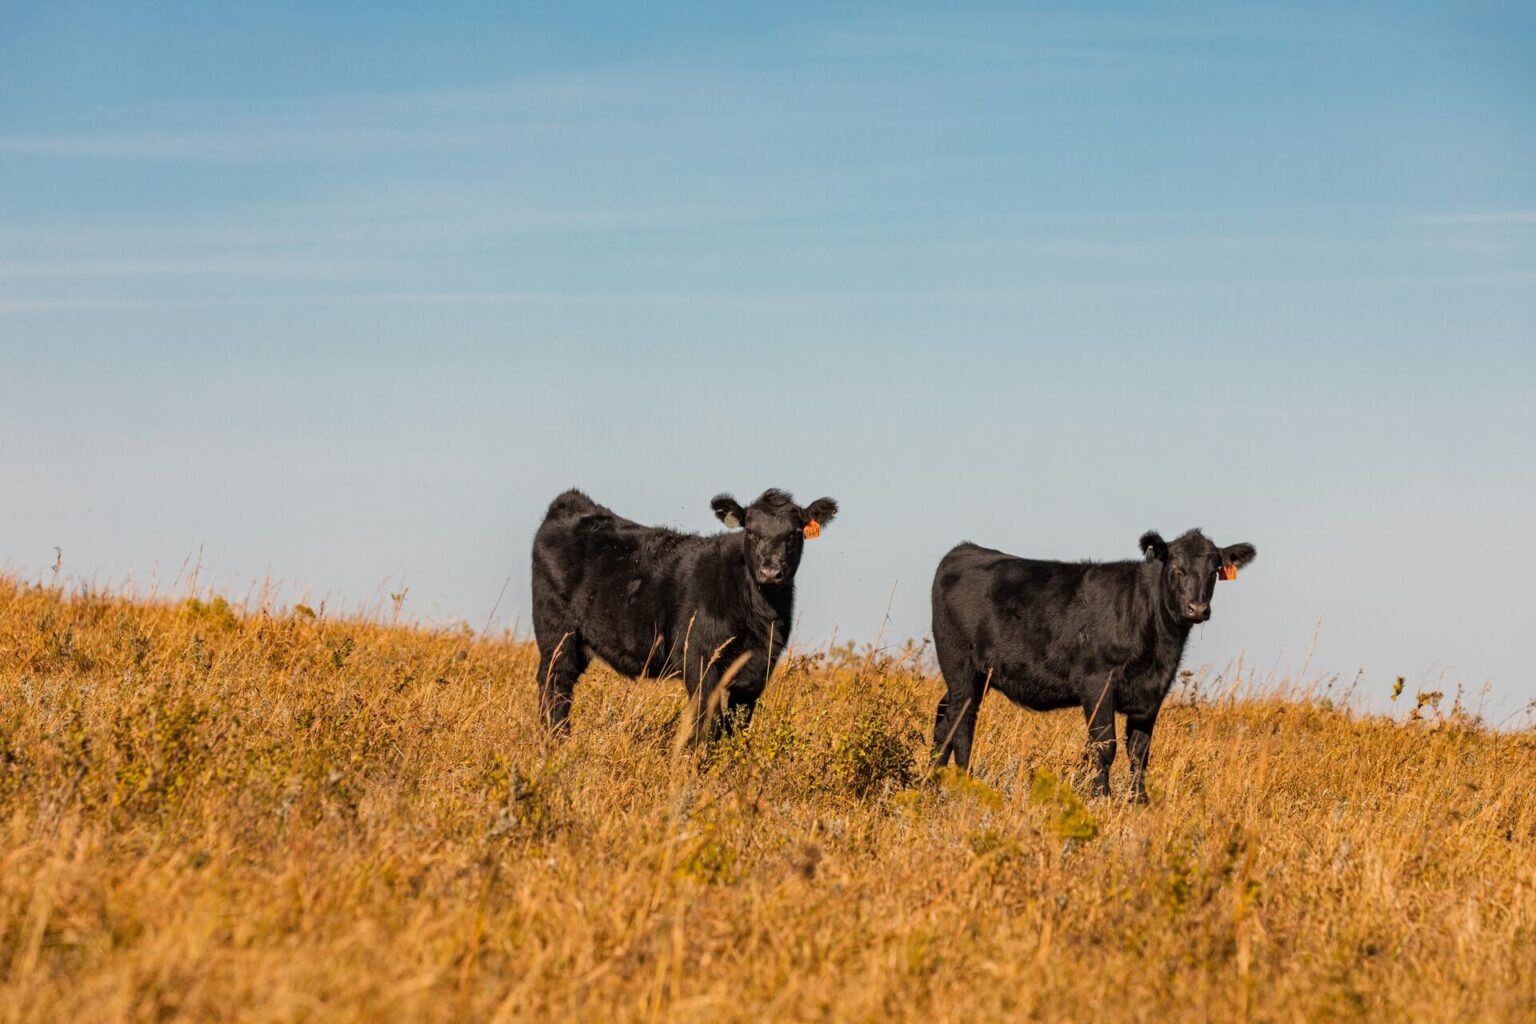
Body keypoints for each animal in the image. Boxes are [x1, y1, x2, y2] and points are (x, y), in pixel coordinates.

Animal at [530, 488, 838, 741]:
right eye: (751, 532)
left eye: (793, 534)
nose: (771, 572)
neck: (757, 611)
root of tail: (571, 503)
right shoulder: (698, 655)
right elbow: (708, 721)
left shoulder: (760, 664)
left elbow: (737, 724)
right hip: (557, 634)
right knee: (555, 684)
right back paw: (555, 742)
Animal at [930, 528, 1256, 801]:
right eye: (1177, 570)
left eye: (1213, 572)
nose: (1197, 609)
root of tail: (964, 550)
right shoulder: (1097, 683)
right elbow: (1105, 745)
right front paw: (1101, 798)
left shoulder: (1152, 693)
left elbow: (1139, 750)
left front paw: (1139, 801)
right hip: (961, 667)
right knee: (962, 721)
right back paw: (964, 782)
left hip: (976, 677)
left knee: (944, 715)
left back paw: (932, 778)